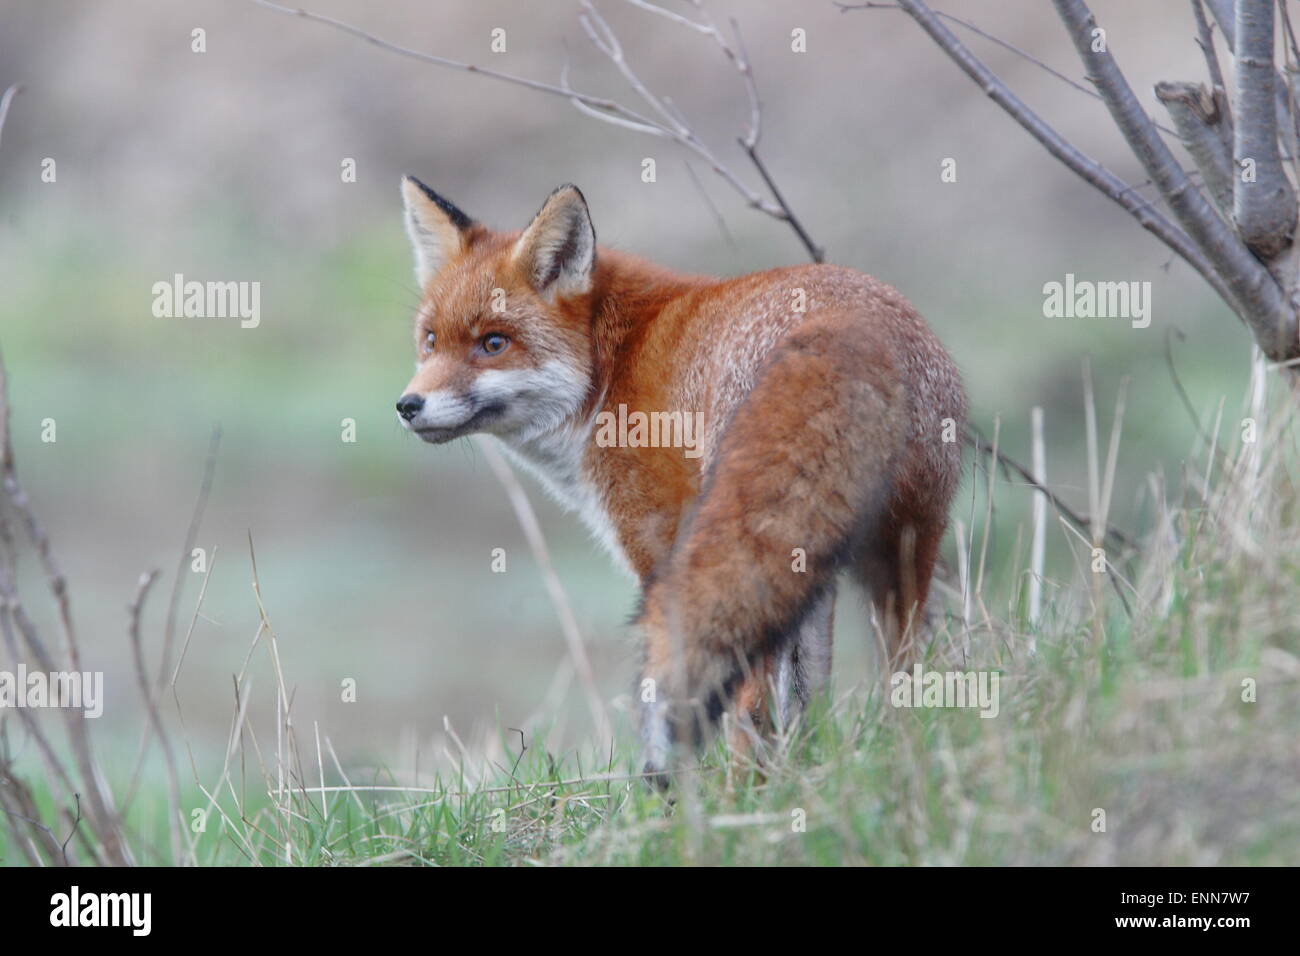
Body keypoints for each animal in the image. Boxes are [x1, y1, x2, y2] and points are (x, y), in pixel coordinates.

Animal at [394, 176, 966, 781]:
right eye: (430, 340)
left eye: (494, 343)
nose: (408, 405)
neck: (609, 370)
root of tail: (848, 327)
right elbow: (807, 691)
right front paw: (799, 774)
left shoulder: (657, 543)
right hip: (899, 549)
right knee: (904, 674)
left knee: (750, 699)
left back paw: (731, 791)